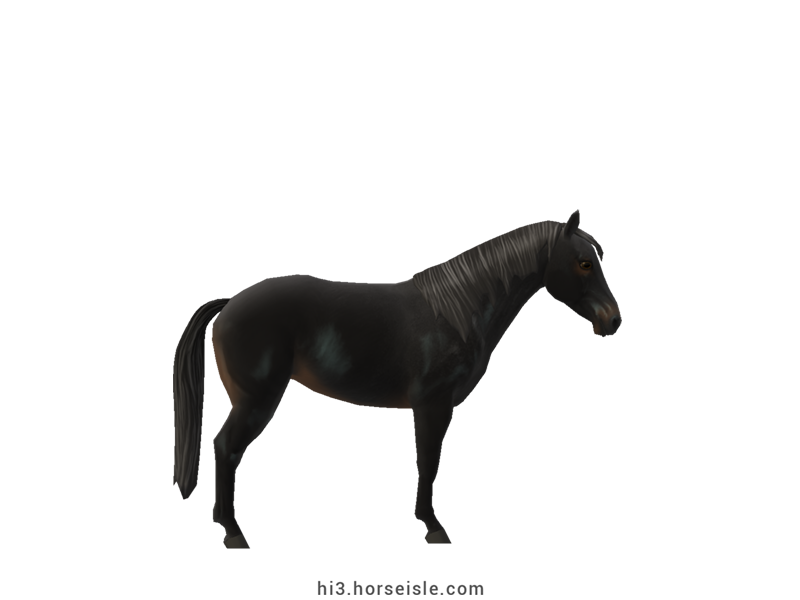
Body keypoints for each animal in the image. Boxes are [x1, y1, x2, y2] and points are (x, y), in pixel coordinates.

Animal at [174, 210, 622, 547]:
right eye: (584, 262)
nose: (612, 320)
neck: (454, 314)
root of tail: (229, 304)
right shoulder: (433, 402)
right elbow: (429, 460)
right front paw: (433, 527)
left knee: (220, 447)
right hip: (256, 399)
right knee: (226, 449)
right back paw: (233, 533)